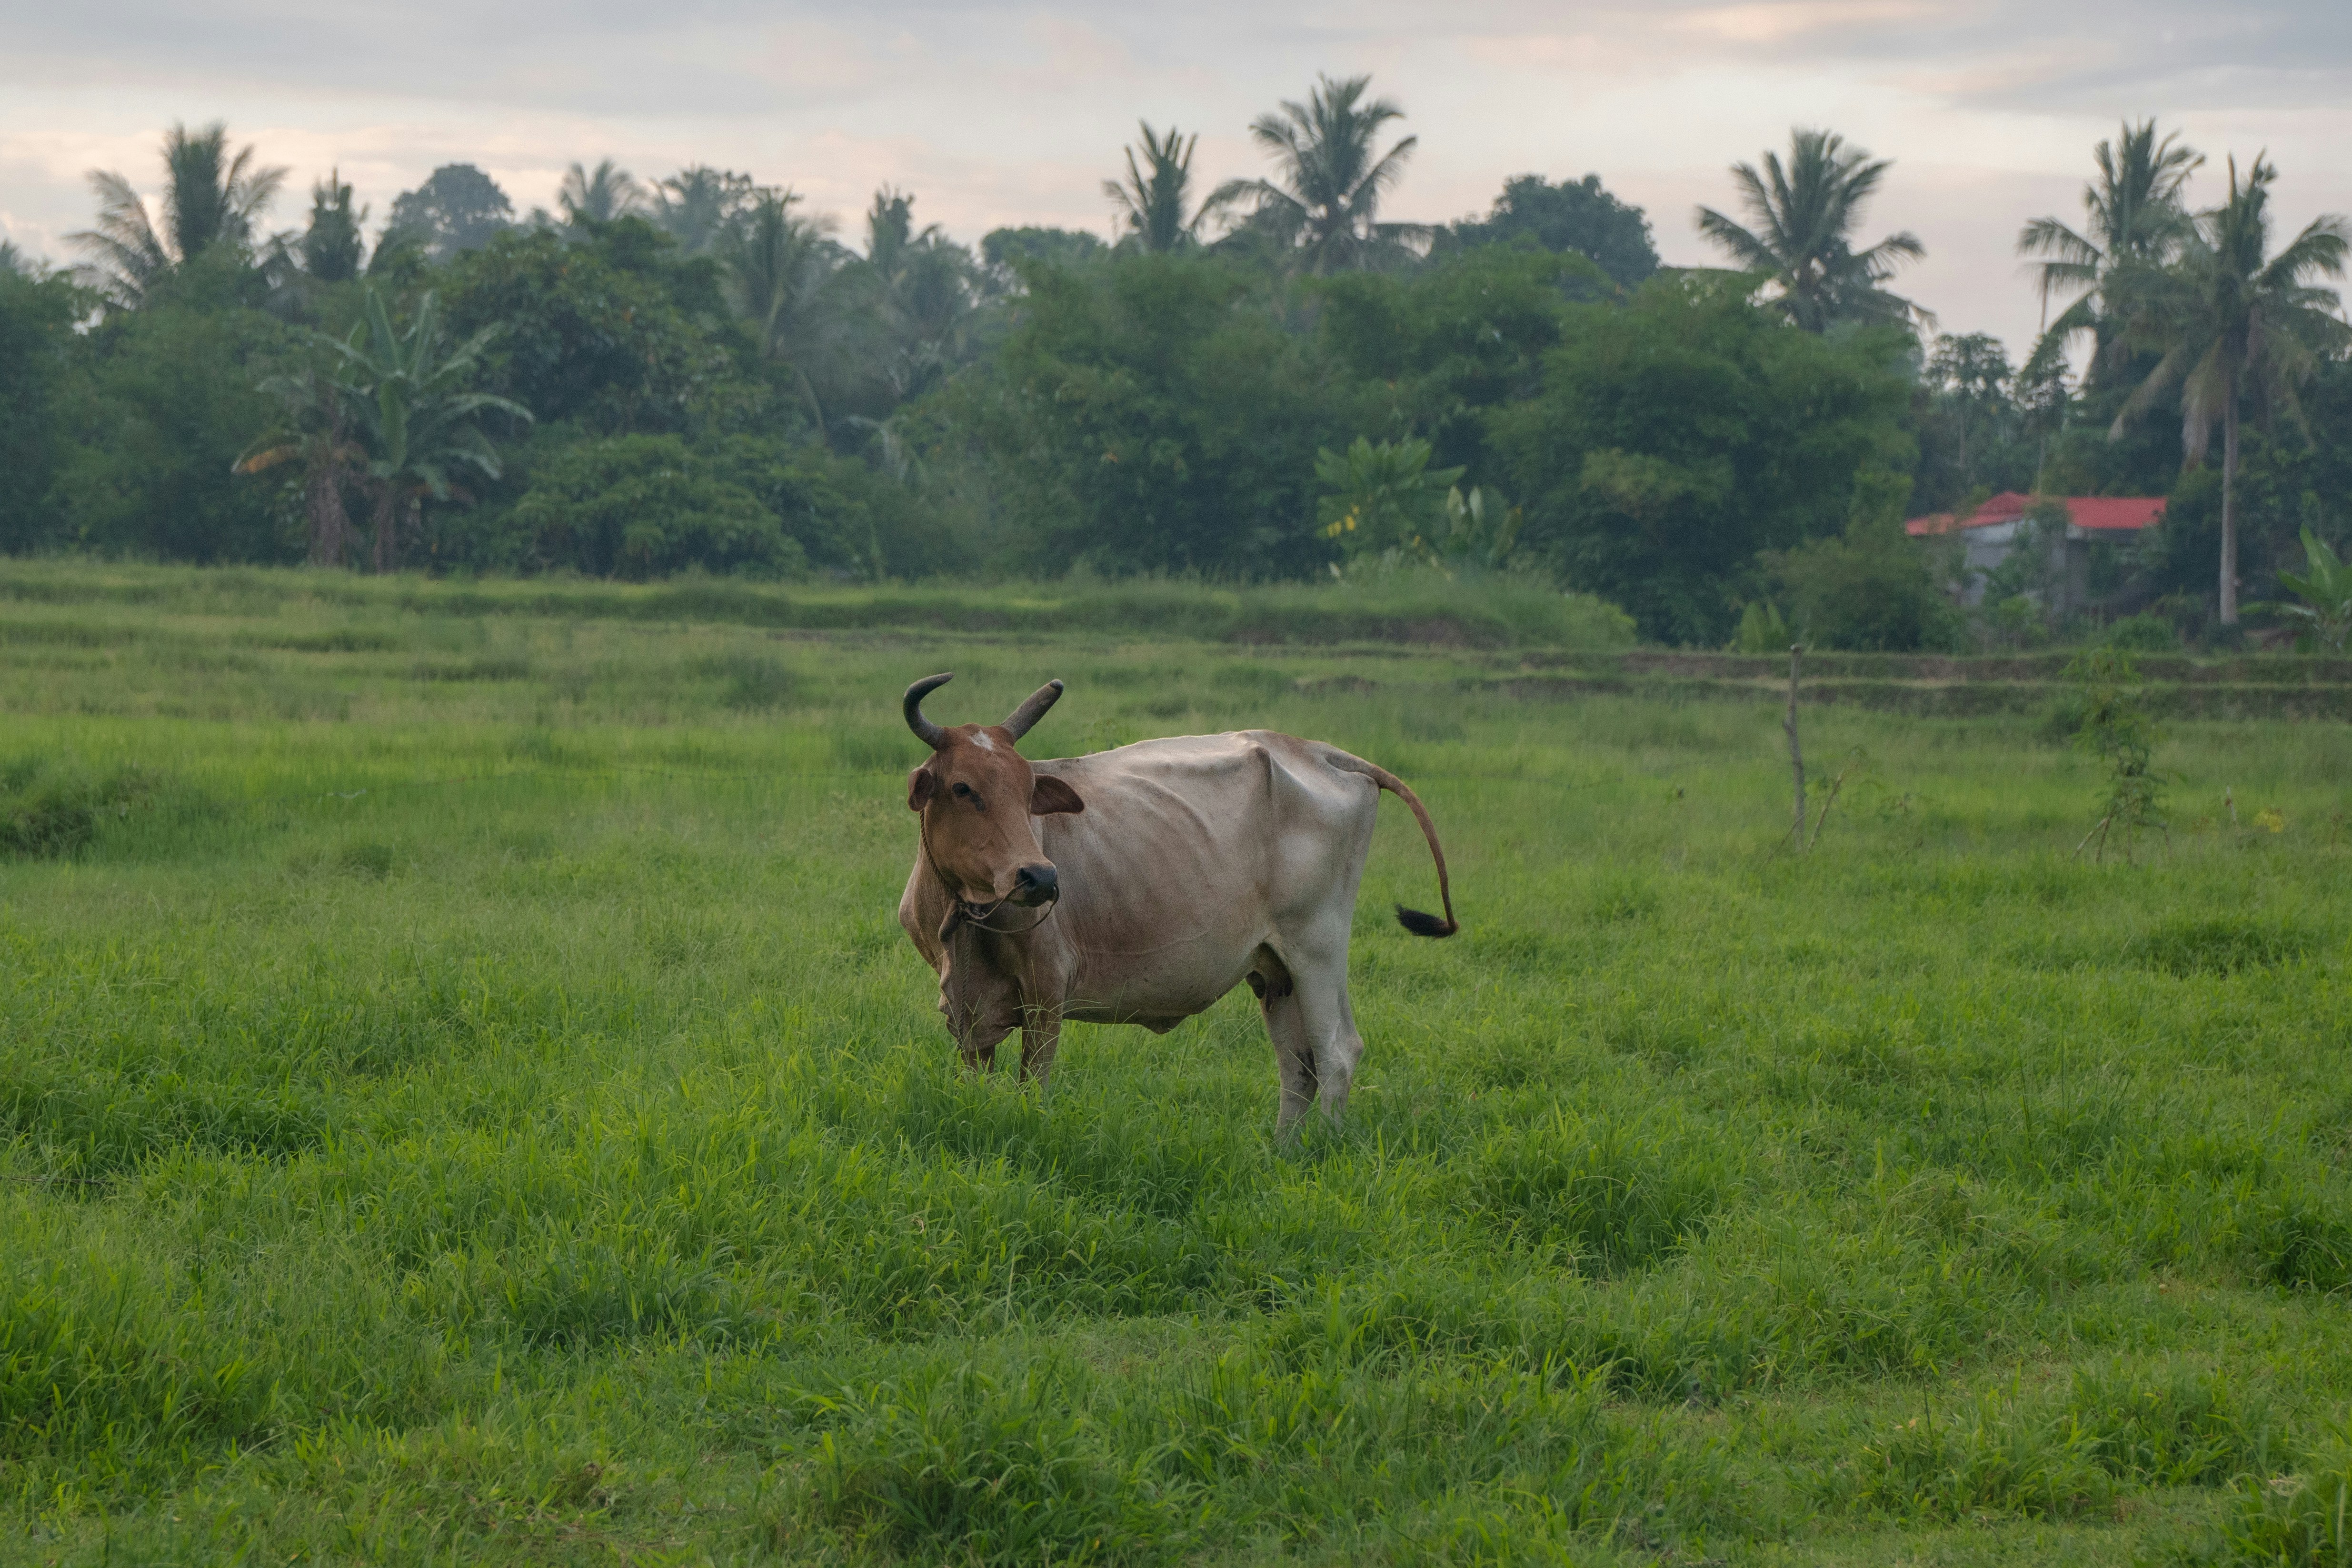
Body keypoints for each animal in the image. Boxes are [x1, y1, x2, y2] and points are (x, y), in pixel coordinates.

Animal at [895, 672, 1458, 1133]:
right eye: (962, 787)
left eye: (1028, 786)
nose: (1039, 876)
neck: (963, 918)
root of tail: (1318, 751)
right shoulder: (969, 1014)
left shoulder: (1046, 991)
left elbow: (1034, 1086)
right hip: (1274, 969)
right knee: (1298, 1064)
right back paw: (1283, 1153)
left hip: (1317, 947)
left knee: (1337, 1053)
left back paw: (1320, 1149)